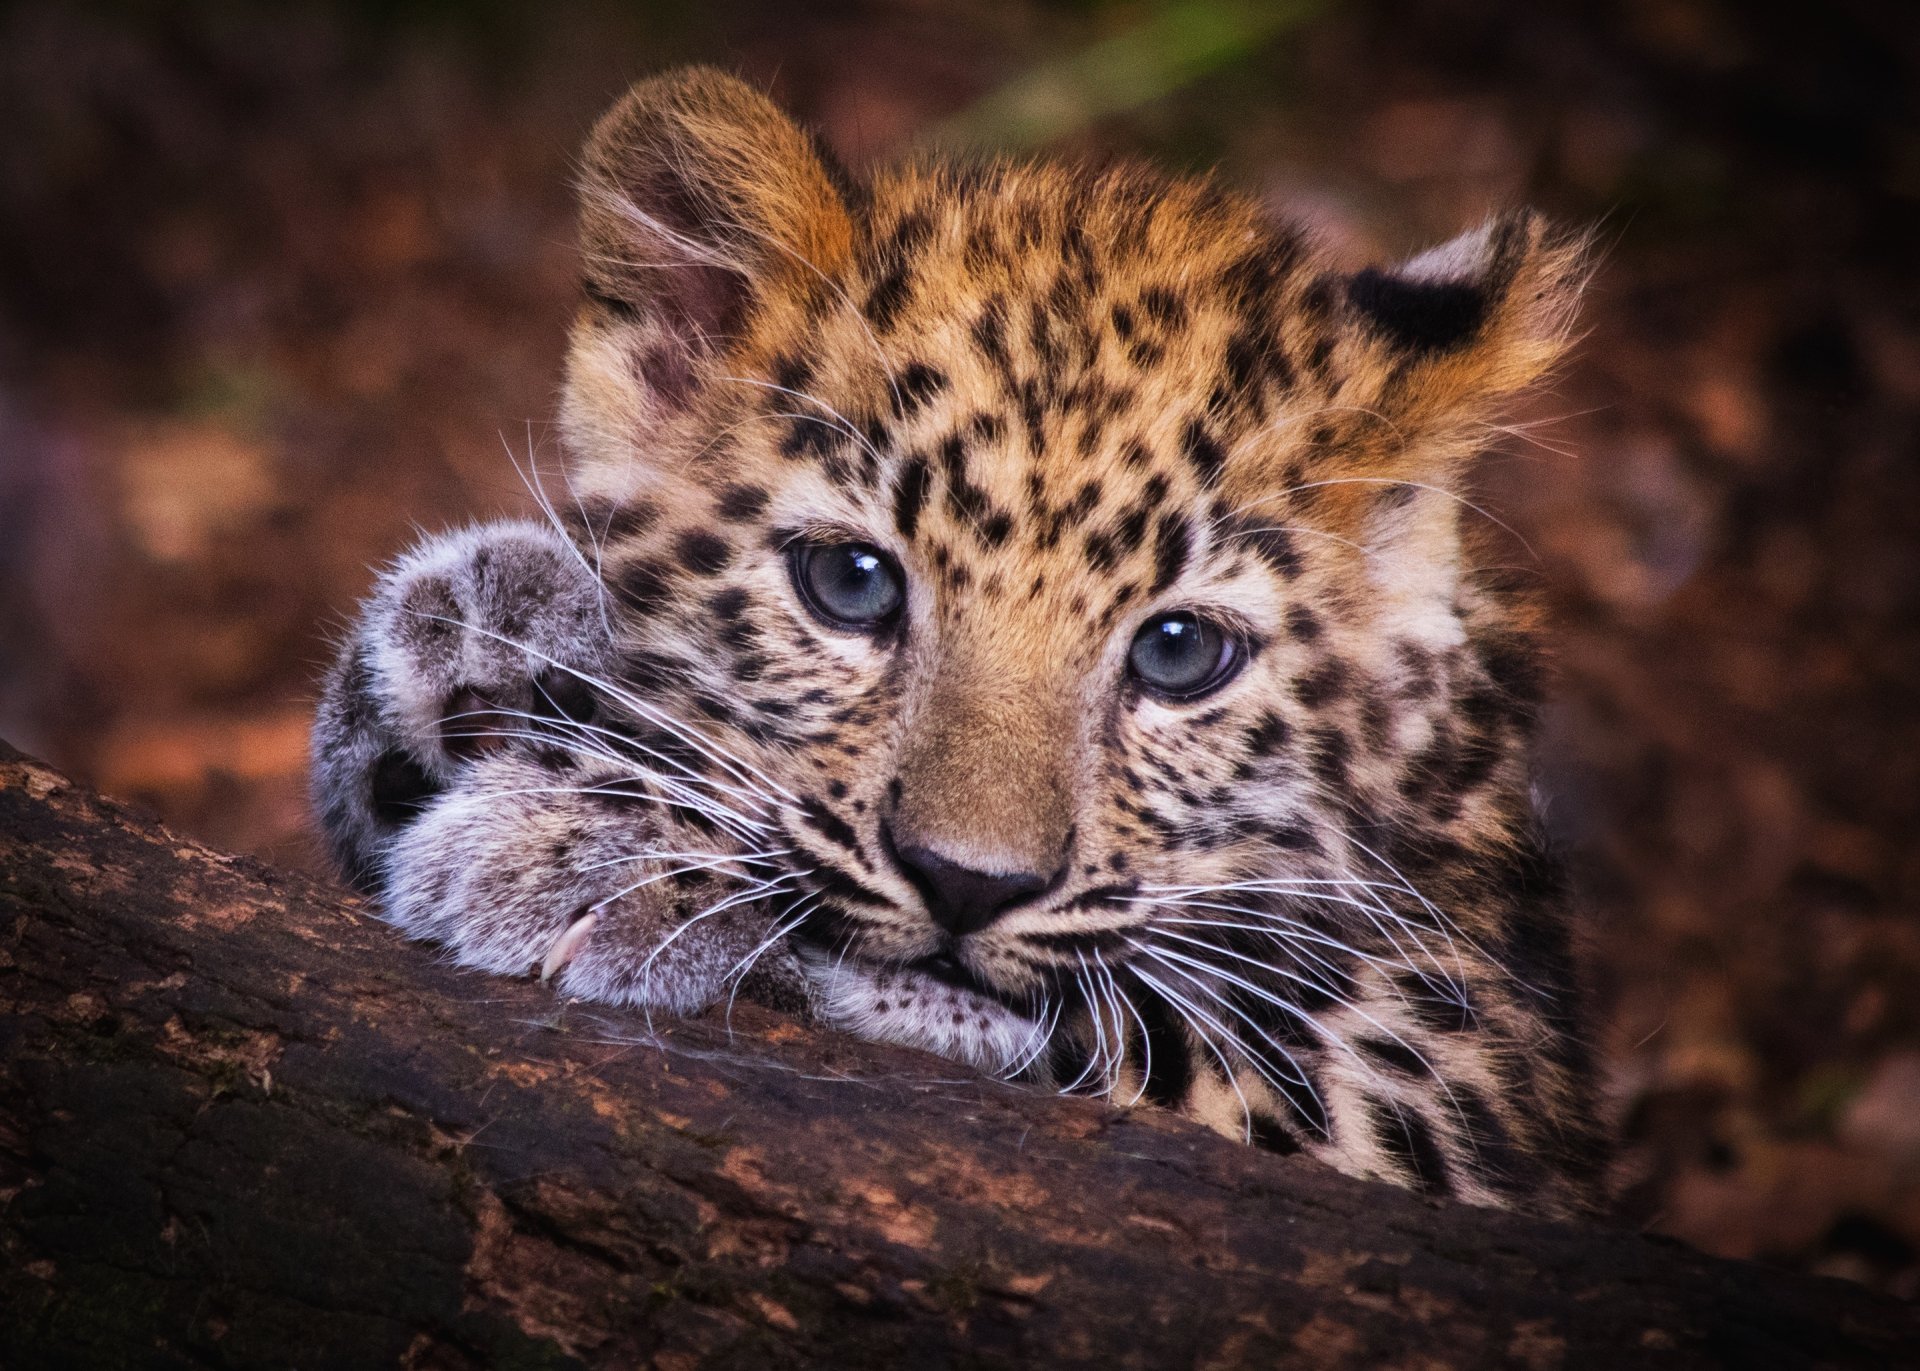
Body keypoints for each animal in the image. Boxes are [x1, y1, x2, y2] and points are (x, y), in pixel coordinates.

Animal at [311, 67, 1605, 1216]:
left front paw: (607, 859)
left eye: (1179, 653)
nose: (967, 885)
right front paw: (486, 640)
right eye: (851, 585)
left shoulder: (1440, 1089)